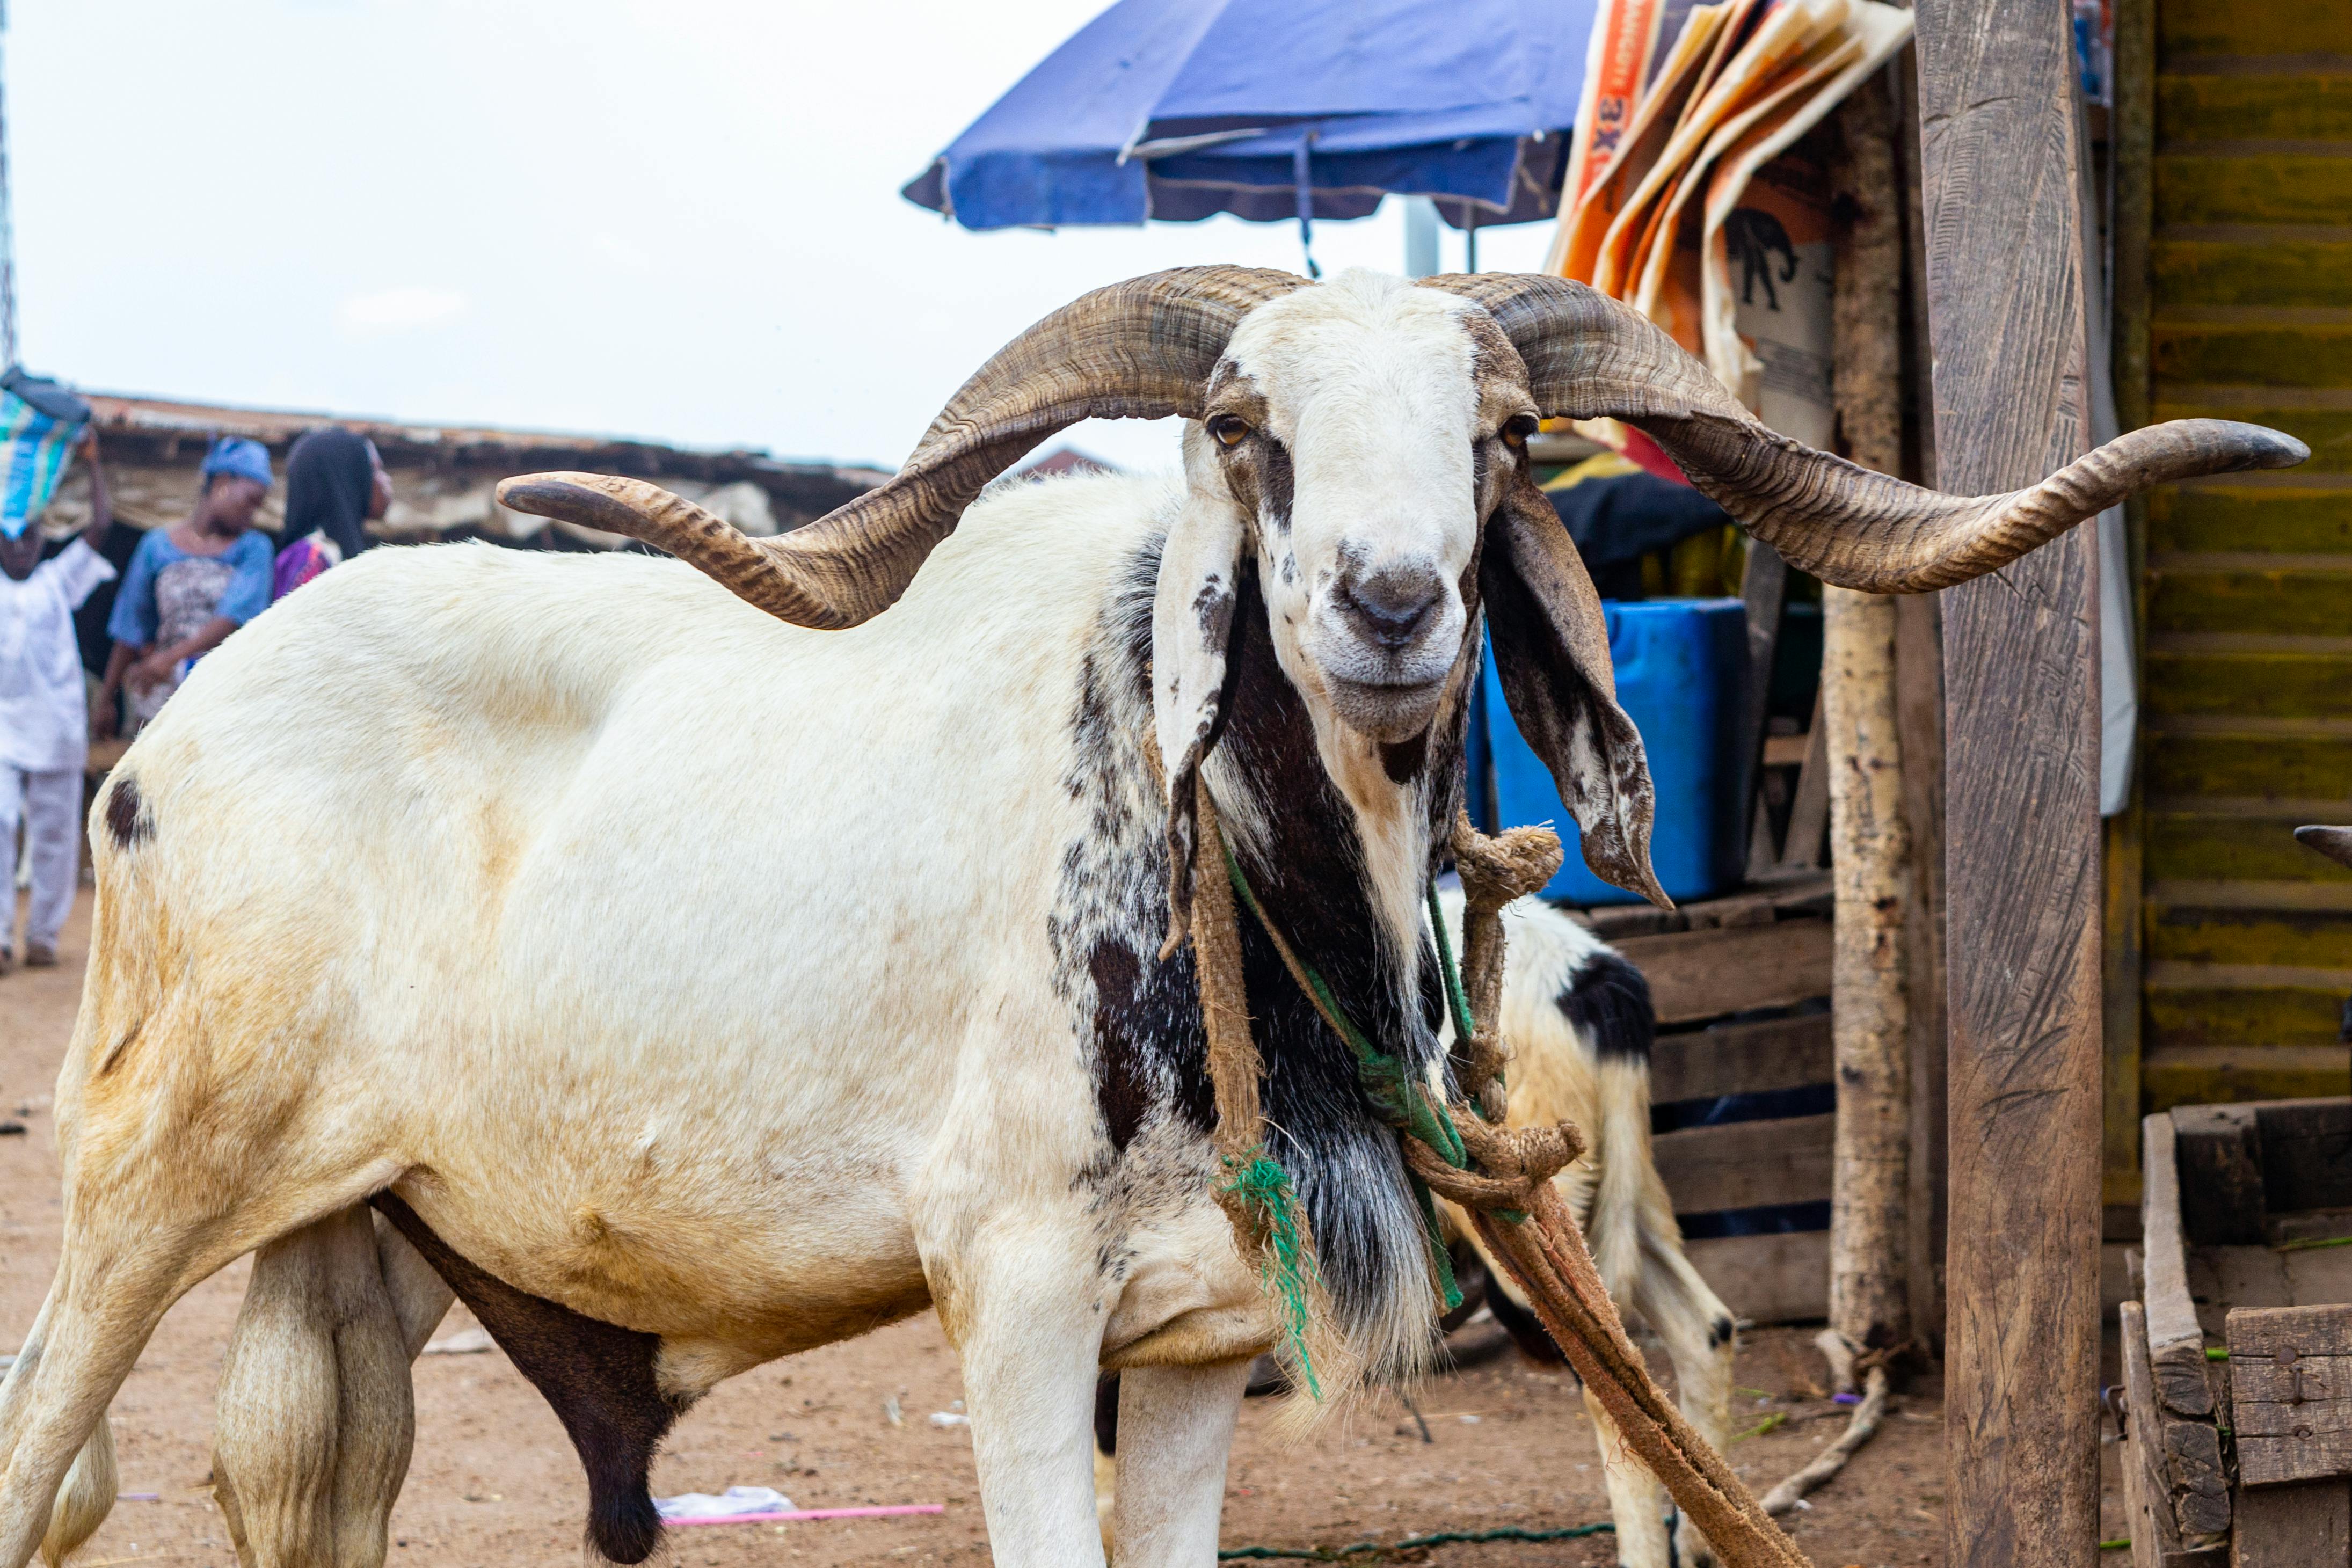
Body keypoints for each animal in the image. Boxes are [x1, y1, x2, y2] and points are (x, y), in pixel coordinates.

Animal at [0, 266, 2295, 1568]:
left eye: (1497, 434)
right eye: (1245, 427)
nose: (1393, 601)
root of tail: (173, 732)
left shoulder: (1194, 1346)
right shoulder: (1010, 1305)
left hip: (360, 1234)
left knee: (306, 1491)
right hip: (142, 1180)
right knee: (51, 1463)